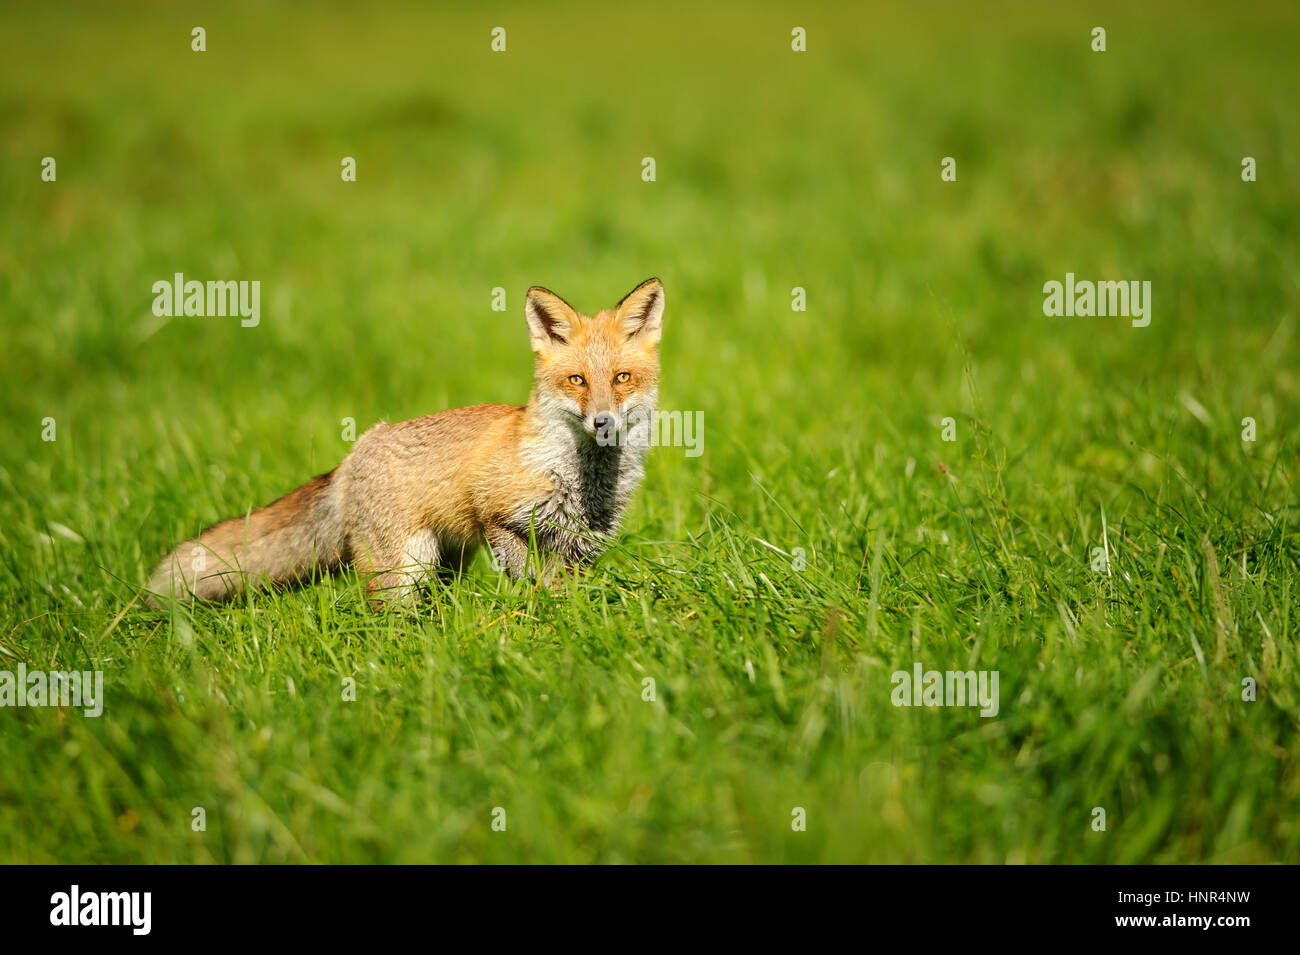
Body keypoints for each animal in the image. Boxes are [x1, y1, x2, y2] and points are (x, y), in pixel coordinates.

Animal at [145, 277, 665, 609]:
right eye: (577, 380)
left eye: (621, 378)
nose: (603, 422)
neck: (580, 479)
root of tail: (356, 452)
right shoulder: (495, 516)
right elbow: (528, 578)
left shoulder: (583, 543)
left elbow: (566, 592)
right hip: (404, 567)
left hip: (446, 561)